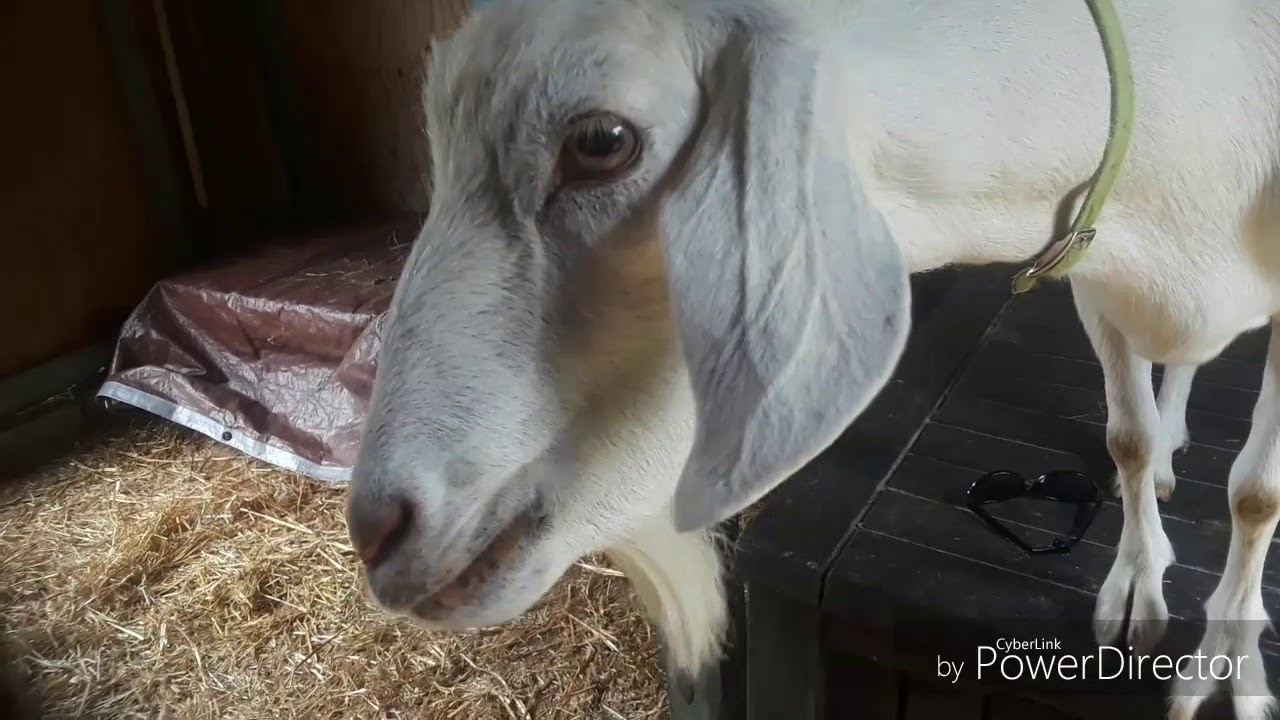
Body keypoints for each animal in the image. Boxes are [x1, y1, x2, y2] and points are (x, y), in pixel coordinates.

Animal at [343, 0, 1280, 716]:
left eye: (602, 140)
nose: (379, 532)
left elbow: (1255, 497)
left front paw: (1226, 672)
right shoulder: (1091, 265)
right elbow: (1127, 440)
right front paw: (1139, 580)